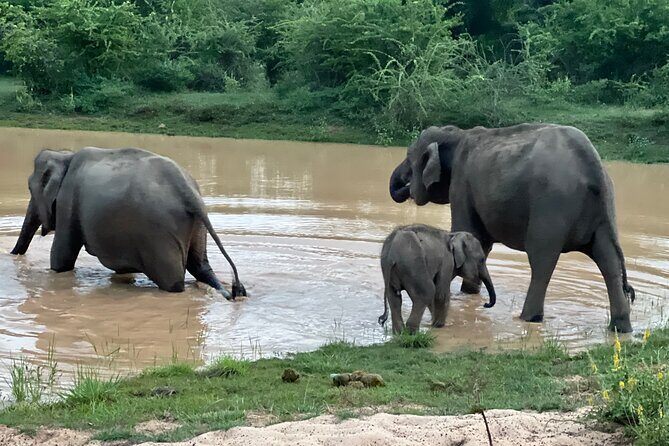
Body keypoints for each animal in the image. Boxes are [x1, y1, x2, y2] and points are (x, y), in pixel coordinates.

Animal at [11, 147, 246, 299]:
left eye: (30, 188)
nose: (13, 256)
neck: (65, 155)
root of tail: (188, 190)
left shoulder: (68, 201)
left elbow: (62, 257)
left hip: (160, 235)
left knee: (174, 281)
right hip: (195, 225)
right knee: (201, 267)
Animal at [389, 124, 635, 332]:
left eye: (409, 158)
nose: (404, 186)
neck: (456, 134)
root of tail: (593, 166)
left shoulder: (461, 183)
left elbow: (468, 231)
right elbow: (482, 243)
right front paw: (469, 295)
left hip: (552, 206)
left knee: (542, 261)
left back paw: (529, 318)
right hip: (604, 210)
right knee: (609, 260)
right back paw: (620, 327)